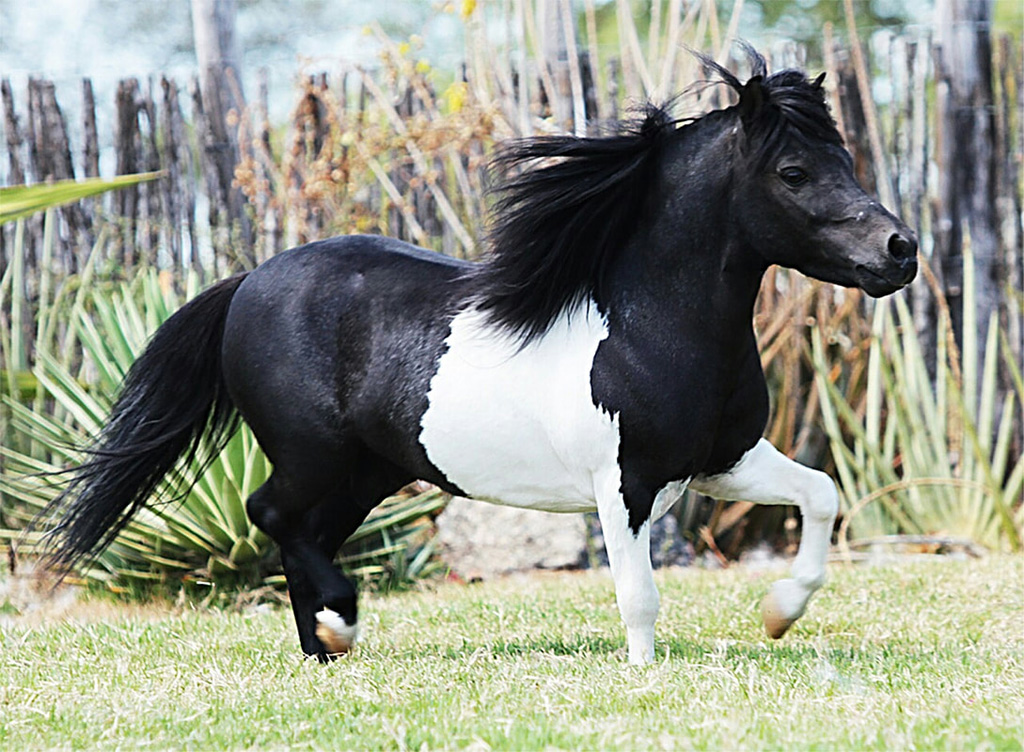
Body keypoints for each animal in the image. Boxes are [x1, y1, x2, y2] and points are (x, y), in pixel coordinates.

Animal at [42, 50, 917, 665]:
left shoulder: (721, 462)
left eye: (845, 162)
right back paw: (339, 626)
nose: (900, 252)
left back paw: (321, 647)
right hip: (313, 455)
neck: (650, 327)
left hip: (370, 471)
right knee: (272, 516)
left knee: (302, 532)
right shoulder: (623, 484)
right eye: (794, 172)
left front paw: (779, 613)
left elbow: (821, 495)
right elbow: (639, 595)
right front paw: (647, 673)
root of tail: (250, 281)